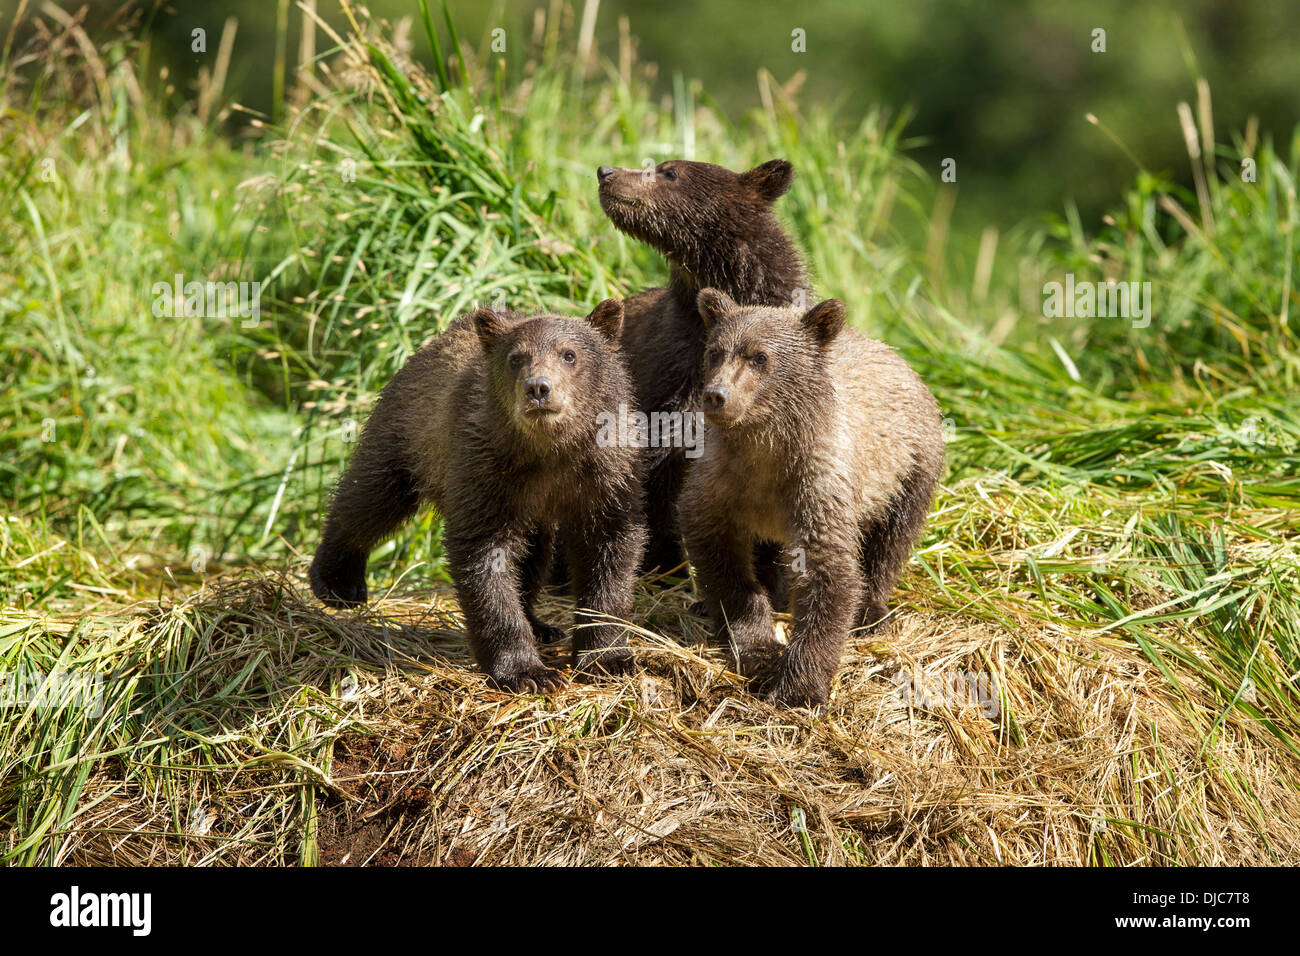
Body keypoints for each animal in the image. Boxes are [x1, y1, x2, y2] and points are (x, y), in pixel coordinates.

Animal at [309, 300, 647, 692]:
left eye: (569, 354)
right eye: (515, 358)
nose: (538, 388)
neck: (550, 452)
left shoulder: (606, 475)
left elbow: (609, 550)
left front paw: (608, 657)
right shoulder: (484, 468)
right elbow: (484, 555)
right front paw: (526, 671)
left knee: (533, 552)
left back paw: (540, 625)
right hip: (408, 437)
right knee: (368, 498)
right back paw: (338, 582)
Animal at [677, 289, 945, 710]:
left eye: (760, 357)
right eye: (715, 351)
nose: (717, 395)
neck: (765, 453)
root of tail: (896, 355)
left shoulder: (818, 487)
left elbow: (829, 575)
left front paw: (798, 688)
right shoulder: (719, 487)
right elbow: (723, 564)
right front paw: (758, 647)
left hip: (909, 469)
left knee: (893, 538)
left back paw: (871, 610)